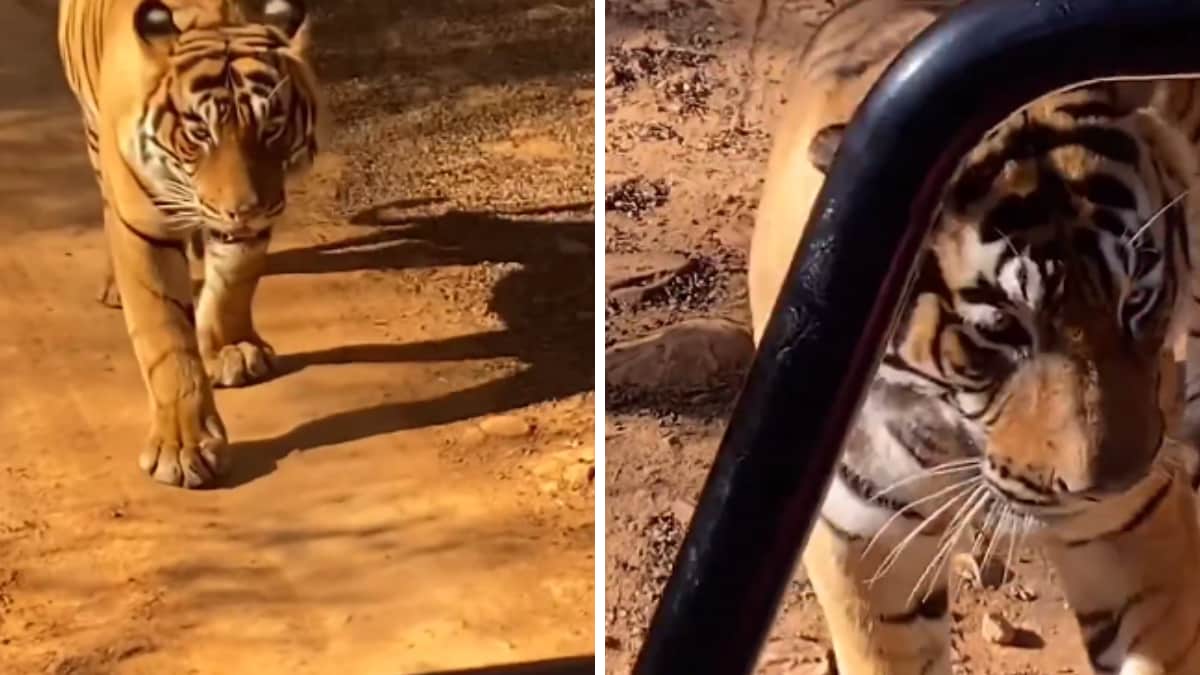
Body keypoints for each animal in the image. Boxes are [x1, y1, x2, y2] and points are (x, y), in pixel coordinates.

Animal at [57, 0, 320, 488]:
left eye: (272, 127)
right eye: (200, 133)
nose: (246, 208)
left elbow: (235, 280)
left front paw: (231, 349)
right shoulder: (143, 226)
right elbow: (167, 341)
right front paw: (183, 448)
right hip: (94, 136)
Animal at [749, 0, 1200, 672]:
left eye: (1136, 301)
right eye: (1001, 330)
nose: (1115, 482)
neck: (951, 437)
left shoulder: (1131, 530)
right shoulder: (861, 547)